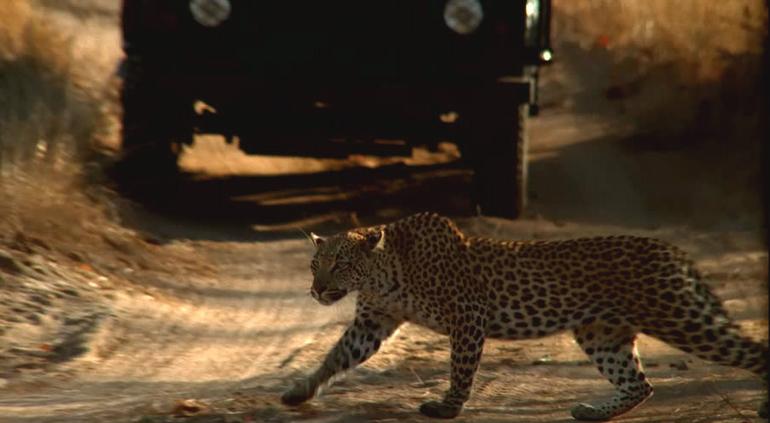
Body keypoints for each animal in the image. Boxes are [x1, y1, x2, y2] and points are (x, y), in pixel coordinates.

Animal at [280, 212, 768, 420]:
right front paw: (299, 392)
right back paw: (592, 412)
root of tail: (671, 248)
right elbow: (335, 357)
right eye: (314, 263)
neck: (385, 272)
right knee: (639, 384)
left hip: (678, 316)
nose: (317, 289)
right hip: (601, 333)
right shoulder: (373, 322)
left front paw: (447, 408)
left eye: (341, 263)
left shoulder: (467, 317)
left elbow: (461, 370)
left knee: (752, 350)